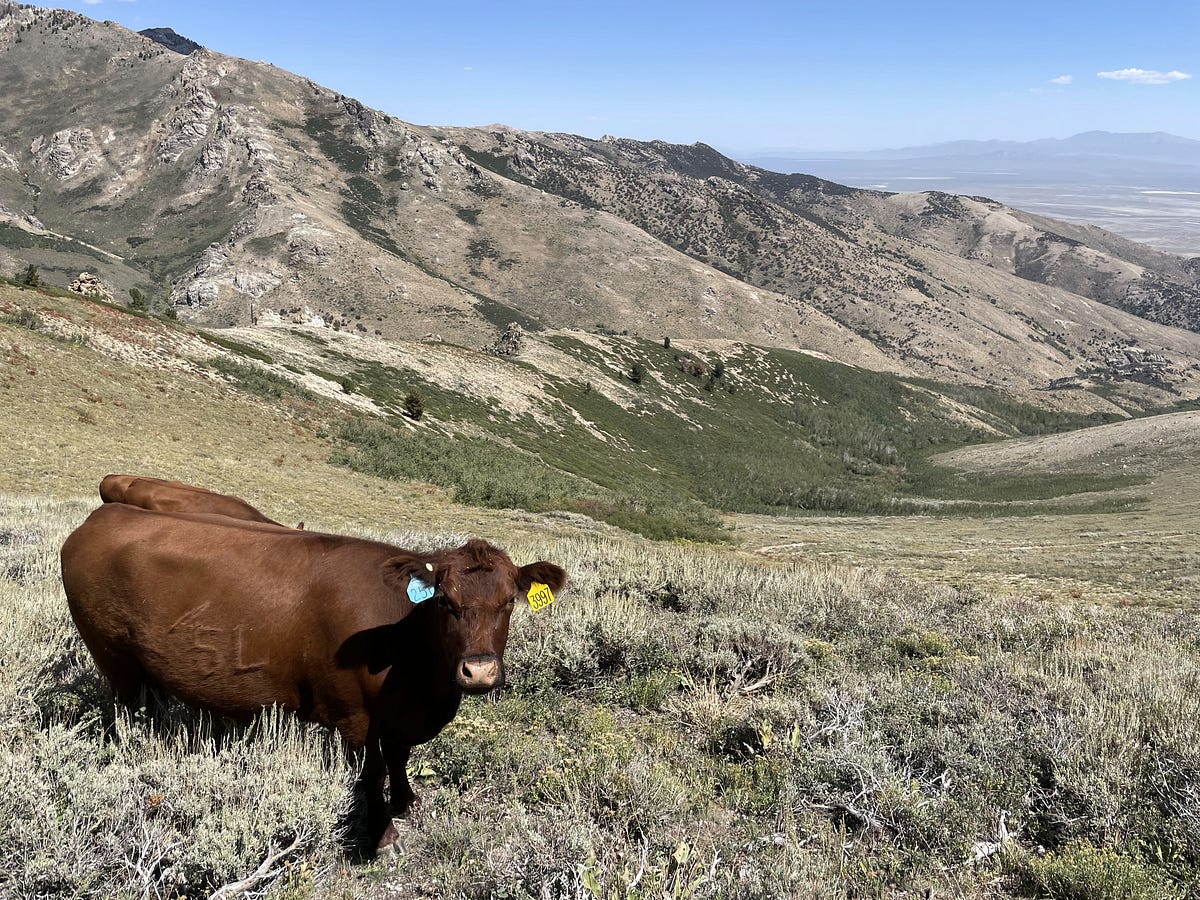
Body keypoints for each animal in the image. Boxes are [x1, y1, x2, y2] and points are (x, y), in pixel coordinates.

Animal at [60, 502, 566, 851]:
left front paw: (407, 803)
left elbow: (398, 758)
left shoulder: (398, 717)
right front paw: (382, 835)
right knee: (129, 715)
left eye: (509, 601)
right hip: (114, 658)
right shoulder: (354, 715)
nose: (478, 671)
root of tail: (106, 514)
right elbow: (372, 771)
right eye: (445, 601)